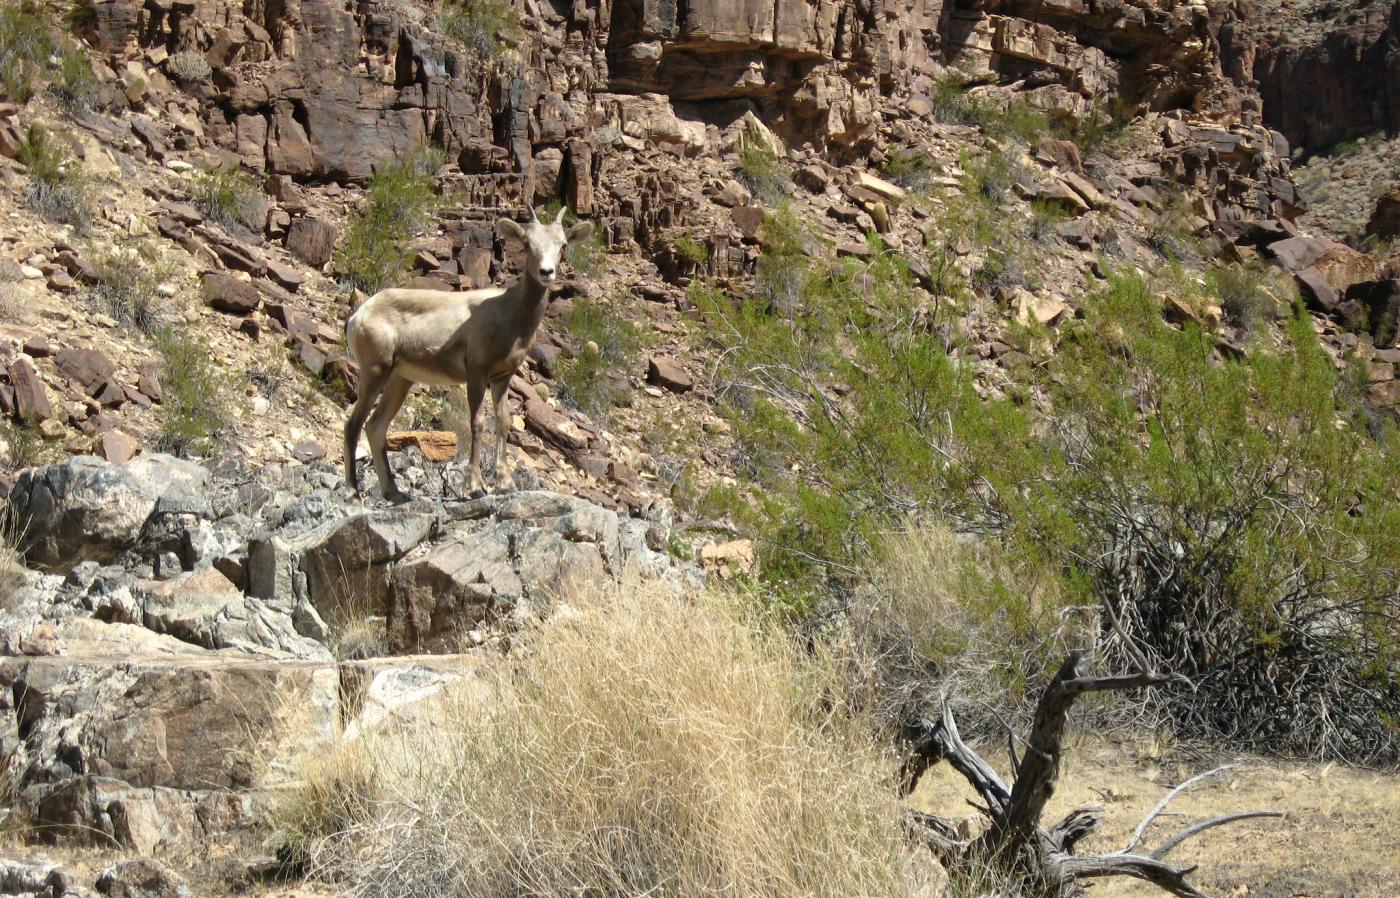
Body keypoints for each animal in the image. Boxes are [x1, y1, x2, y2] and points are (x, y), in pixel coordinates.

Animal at [343, 208, 594, 502]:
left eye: (563, 245)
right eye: (527, 243)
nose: (546, 272)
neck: (509, 314)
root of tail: (359, 315)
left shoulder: (501, 377)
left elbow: (503, 422)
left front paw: (505, 483)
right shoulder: (476, 374)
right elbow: (478, 423)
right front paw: (475, 487)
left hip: (399, 380)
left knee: (376, 426)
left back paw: (394, 493)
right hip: (375, 371)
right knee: (353, 425)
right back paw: (353, 494)